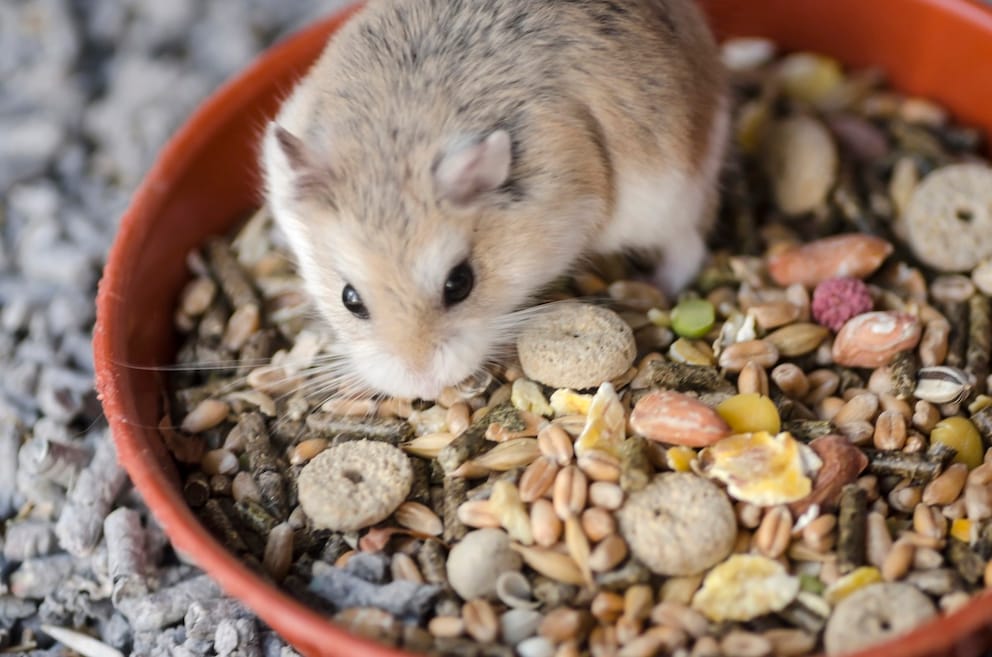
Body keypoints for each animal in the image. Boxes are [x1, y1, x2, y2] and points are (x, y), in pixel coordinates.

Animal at [262, 0, 729, 401]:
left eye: (459, 284)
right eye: (350, 299)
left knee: (688, 246)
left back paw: (655, 287)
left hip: (668, 199)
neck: (398, 143)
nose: (424, 384)